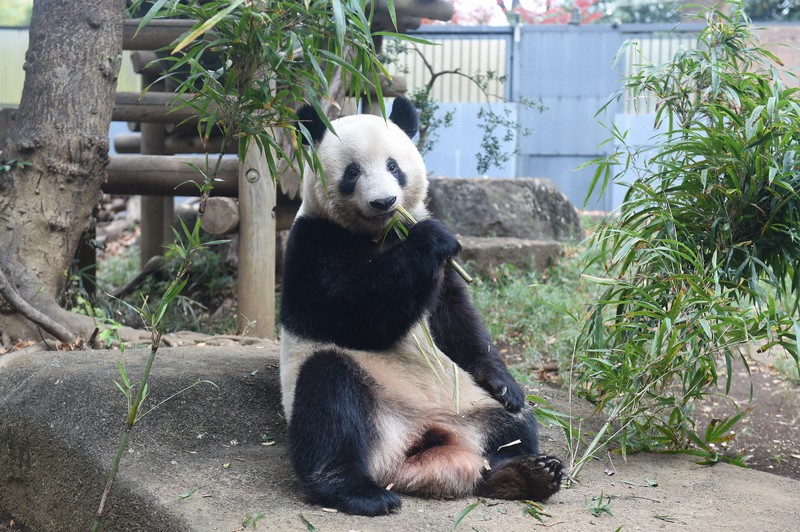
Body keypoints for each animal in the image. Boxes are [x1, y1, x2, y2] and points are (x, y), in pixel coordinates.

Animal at [279, 96, 563, 516]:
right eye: (352, 172)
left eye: (394, 167)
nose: (384, 201)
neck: (381, 232)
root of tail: (423, 443)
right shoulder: (312, 243)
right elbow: (352, 315)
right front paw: (430, 238)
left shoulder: (441, 280)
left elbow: (457, 321)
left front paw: (505, 382)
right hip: (369, 399)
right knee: (328, 399)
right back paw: (358, 491)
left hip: (469, 402)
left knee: (515, 426)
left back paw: (525, 473)